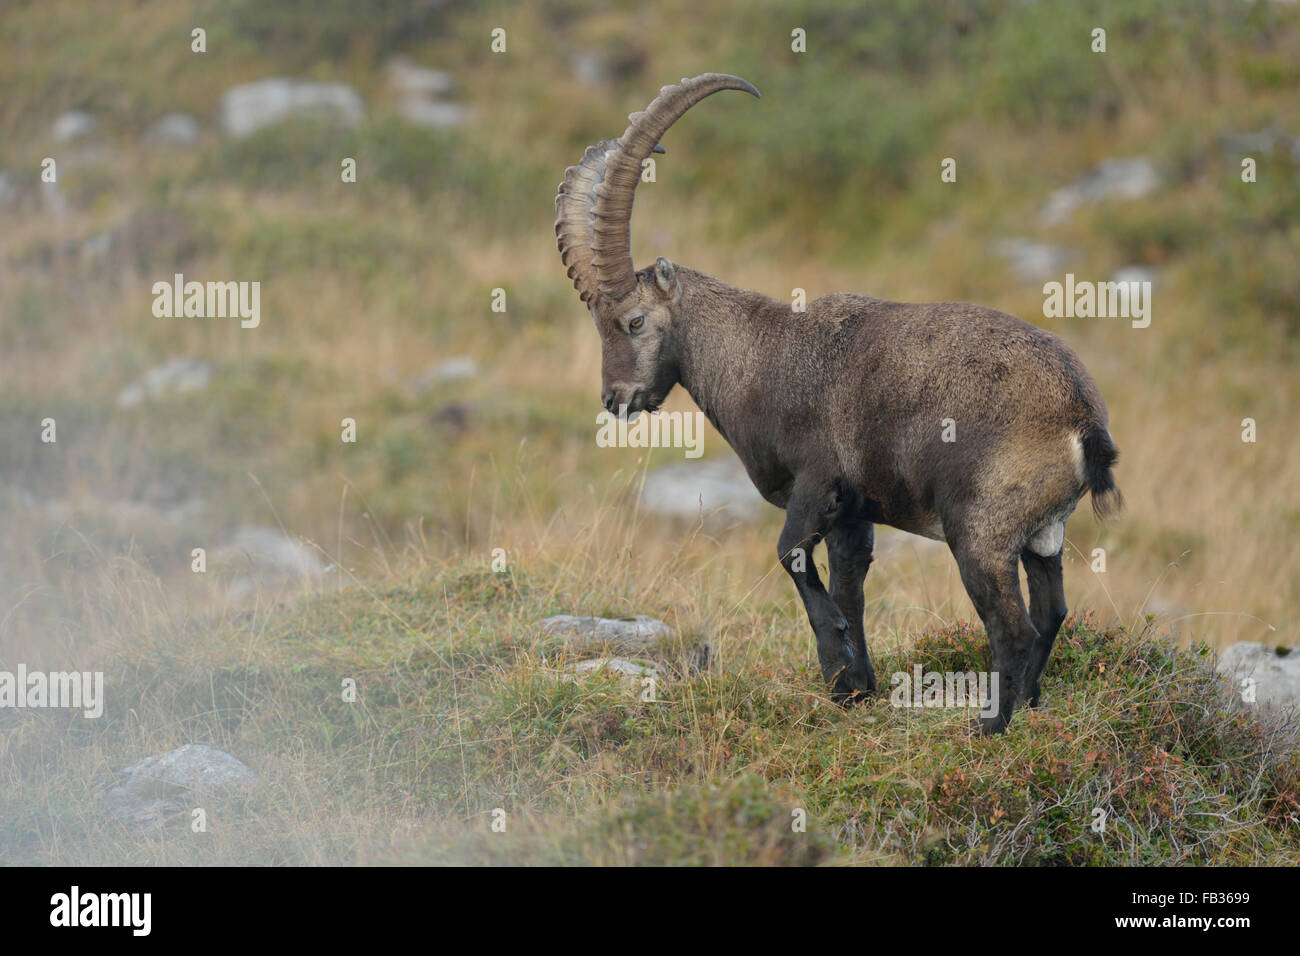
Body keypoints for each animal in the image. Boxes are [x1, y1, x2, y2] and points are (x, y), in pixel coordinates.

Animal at [555, 73, 1121, 733]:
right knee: (1052, 610)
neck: (761, 356)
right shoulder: (855, 510)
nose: (616, 399)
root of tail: (1082, 416)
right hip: (1043, 534)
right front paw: (860, 684)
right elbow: (852, 585)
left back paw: (989, 726)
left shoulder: (817, 482)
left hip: (980, 531)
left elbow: (792, 556)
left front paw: (837, 669)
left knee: (1015, 627)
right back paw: (1028, 706)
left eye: (635, 321)